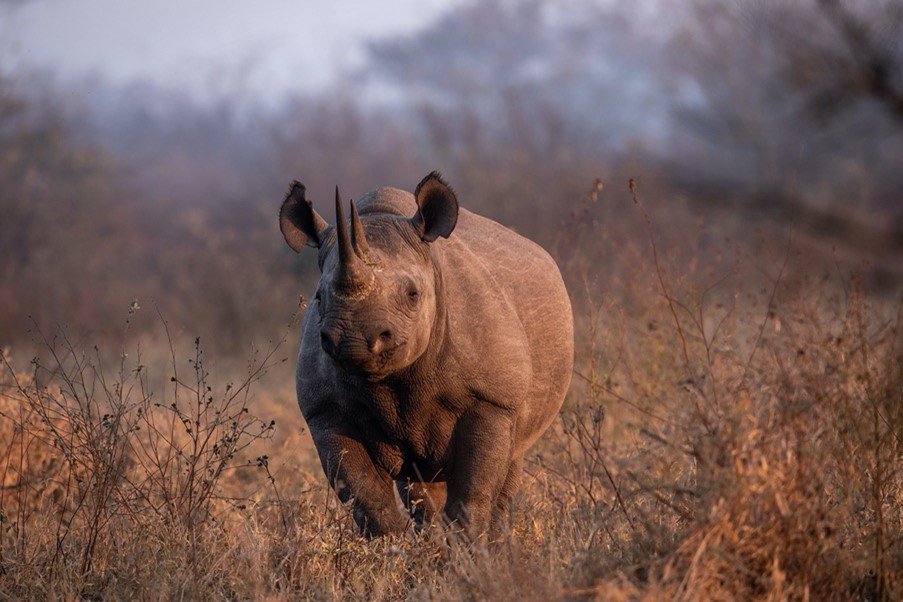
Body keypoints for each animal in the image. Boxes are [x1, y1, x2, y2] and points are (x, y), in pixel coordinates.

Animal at [279, 172, 573, 538]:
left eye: (412, 294)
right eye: (319, 297)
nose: (354, 340)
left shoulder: (492, 399)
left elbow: (473, 493)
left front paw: (468, 549)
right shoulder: (325, 410)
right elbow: (366, 497)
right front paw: (390, 549)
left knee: (510, 461)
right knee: (419, 484)